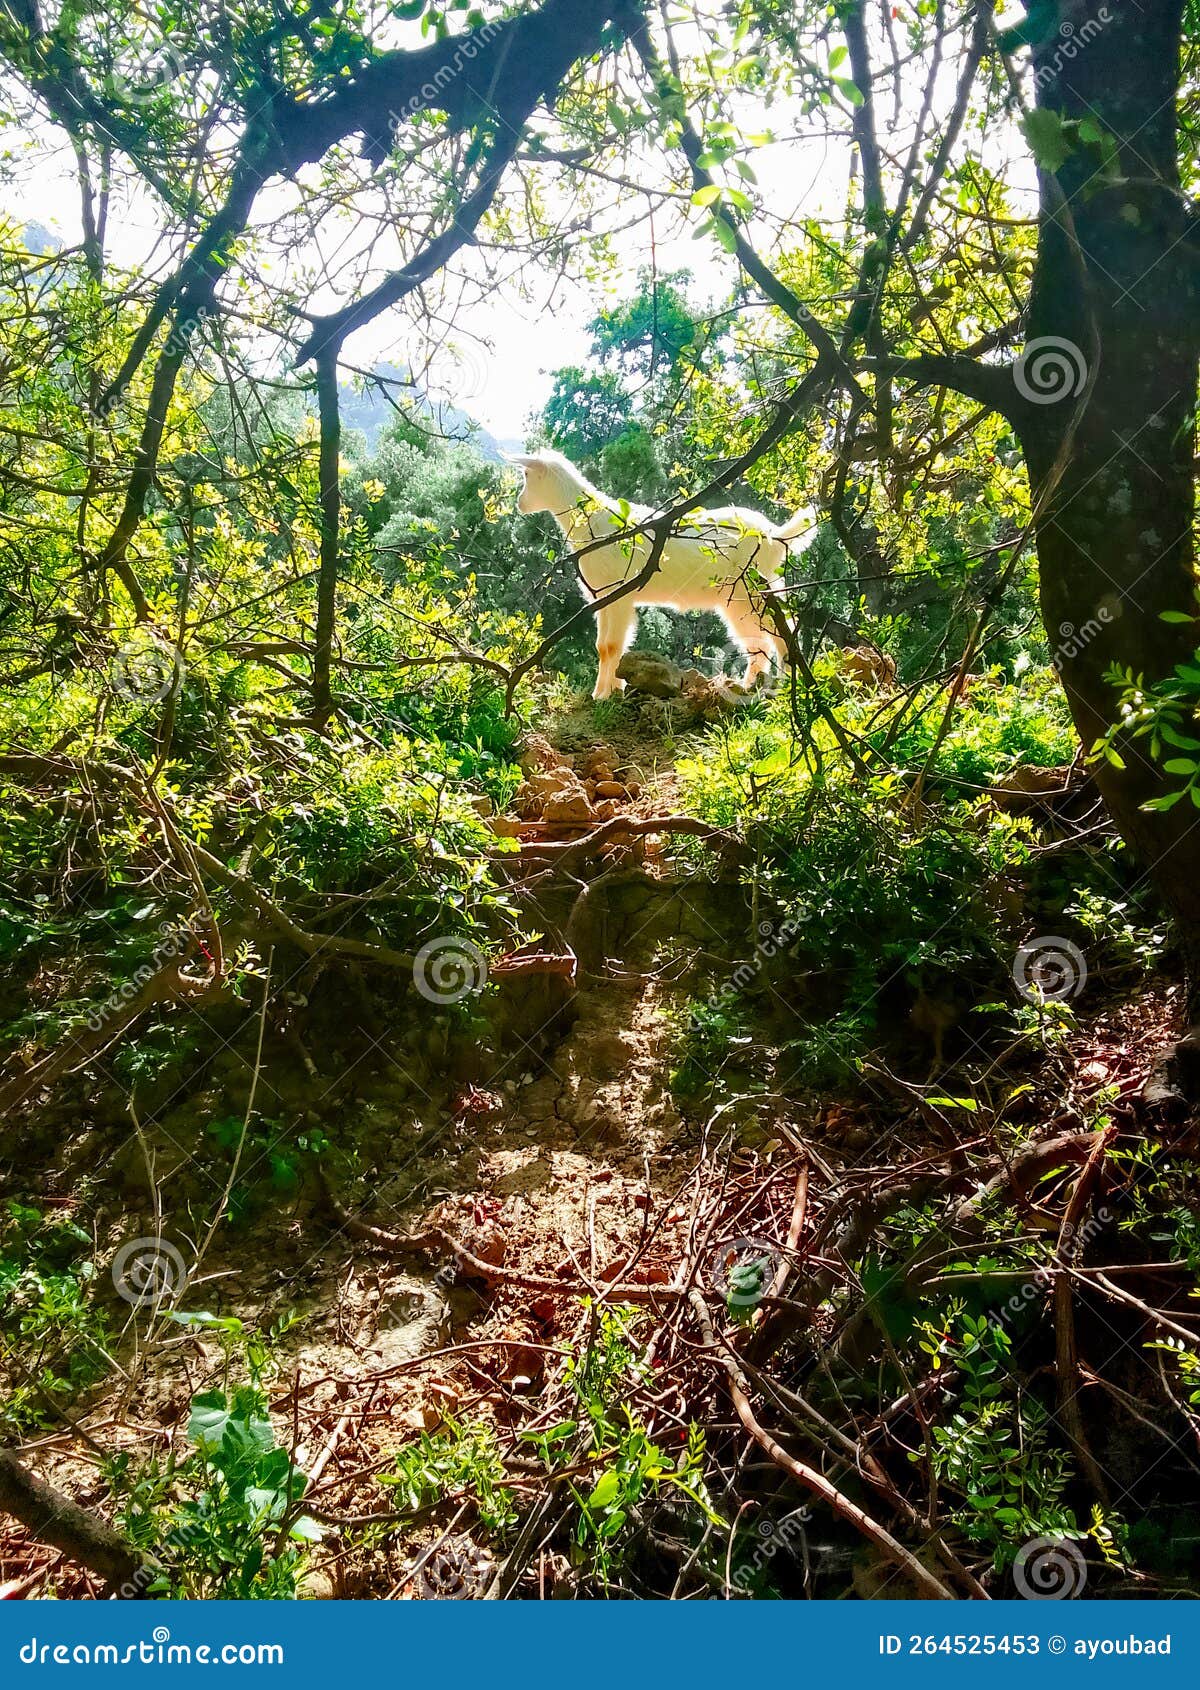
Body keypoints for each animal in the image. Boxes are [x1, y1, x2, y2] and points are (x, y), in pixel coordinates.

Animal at [506, 449, 817, 699]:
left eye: (526, 475)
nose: (519, 504)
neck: (593, 523)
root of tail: (776, 535)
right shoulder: (603, 597)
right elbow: (603, 646)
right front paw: (603, 692)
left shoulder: (619, 595)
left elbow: (611, 645)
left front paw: (605, 695)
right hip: (739, 599)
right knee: (759, 641)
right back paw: (750, 686)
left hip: (757, 588)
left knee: (783, 630)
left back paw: (788, 686)